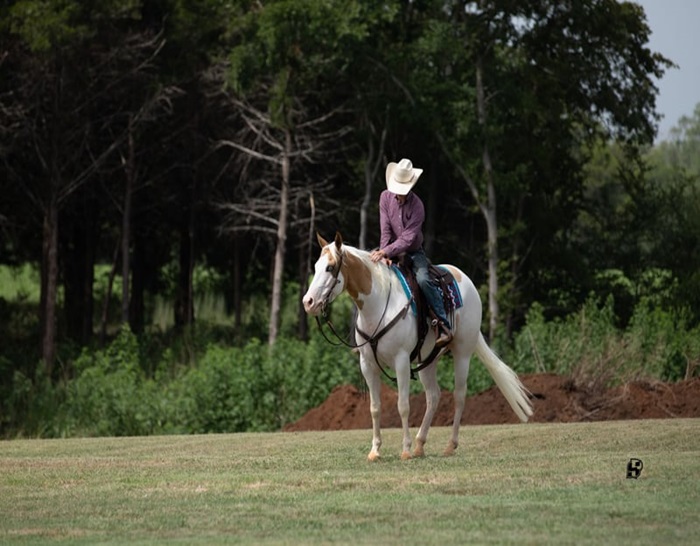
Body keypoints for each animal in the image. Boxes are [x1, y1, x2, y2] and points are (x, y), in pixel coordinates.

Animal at [302, 232, 533, 461]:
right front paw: (375, 450)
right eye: (315, 266)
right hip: (428, 360)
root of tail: (463, 278)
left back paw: (449, 445)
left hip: (463, 353)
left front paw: (405, 449)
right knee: (433, 397)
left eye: (330, 267)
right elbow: (375, 408)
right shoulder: (367, 364)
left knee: (459, 396)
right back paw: (420, 444)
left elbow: (403, 406)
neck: (379, 304)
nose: (308, 302)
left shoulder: (402, 361)